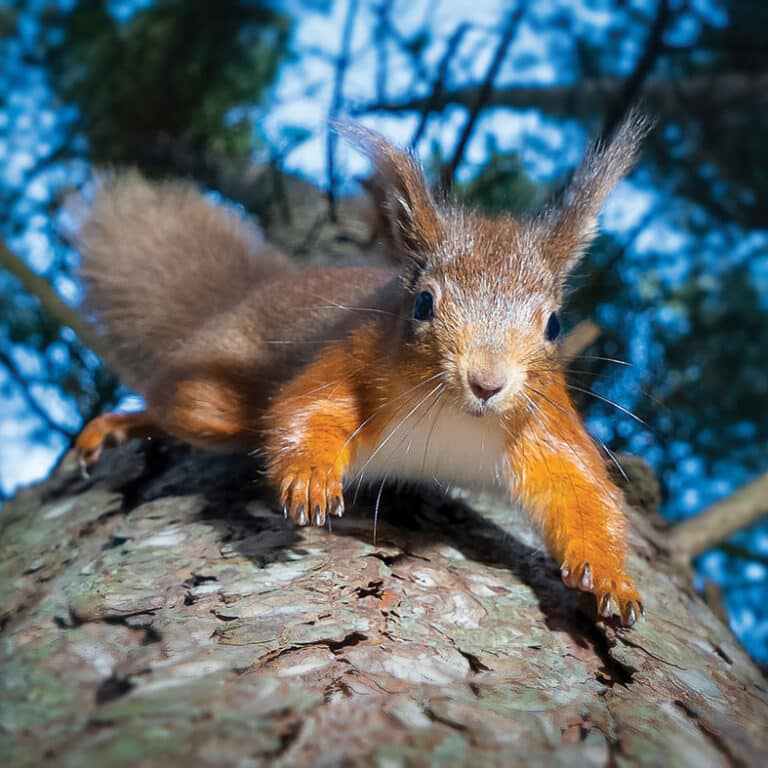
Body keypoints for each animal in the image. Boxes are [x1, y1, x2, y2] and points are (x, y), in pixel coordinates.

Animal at [74, 113, 649, 626]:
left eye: (554, 324)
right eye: (422, 304)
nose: (487, 383)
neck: (457, 420)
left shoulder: (544, 421)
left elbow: (583, 489)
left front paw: (610, 576)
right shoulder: (353, 356)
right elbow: (308, 406)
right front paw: (310, 476)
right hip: (215, 404)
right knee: (177, 404)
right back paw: (117, 425)